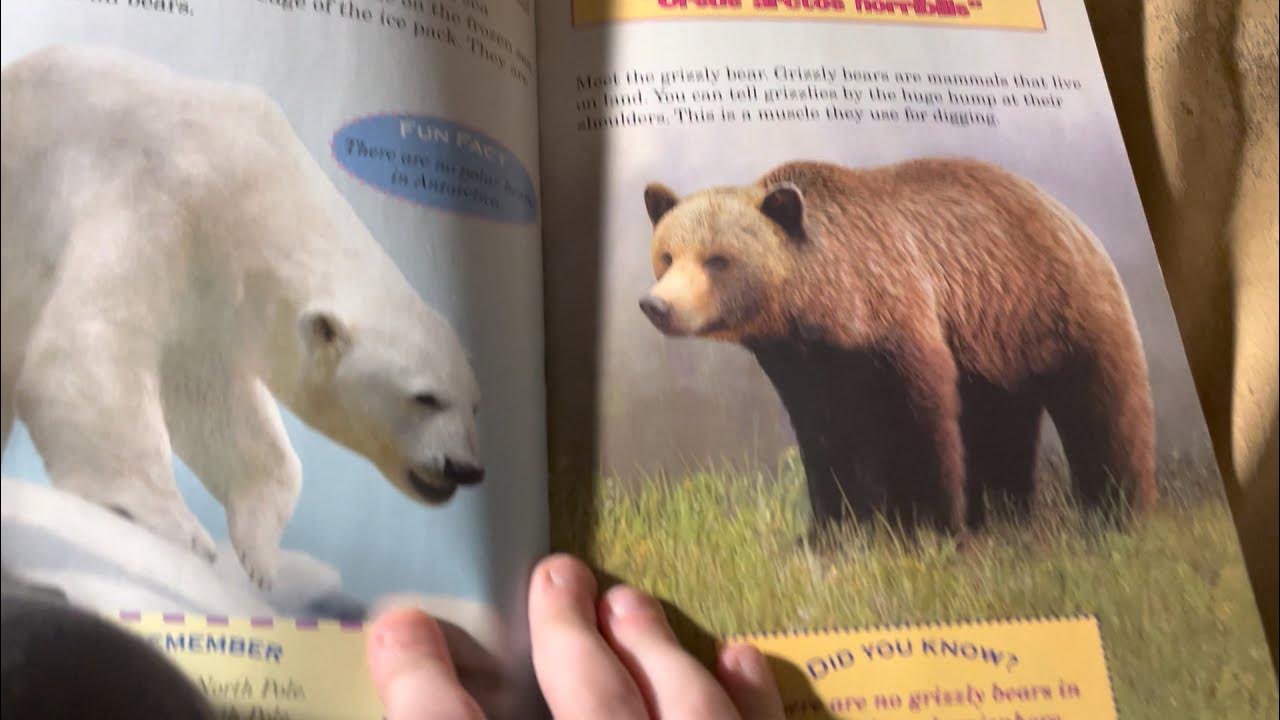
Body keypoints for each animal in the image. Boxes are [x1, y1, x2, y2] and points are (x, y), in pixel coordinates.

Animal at [1, 45, 484, 589]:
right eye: (425, 397)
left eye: (475, 404)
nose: (464, 468)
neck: (252, 189)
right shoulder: (159, 199)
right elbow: (87, 350)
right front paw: (178, 526)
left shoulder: (212, 300)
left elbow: (218, 410)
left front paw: (260, 558)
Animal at [639, 159, 1157, 535]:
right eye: (667, 255)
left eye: (717, 260)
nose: (657, 305)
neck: (824, 308)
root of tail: (1070, 216)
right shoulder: (804, 364)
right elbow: (826, 440)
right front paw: (833, 529)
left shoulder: (898, 324)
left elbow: (917, 425)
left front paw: (930, 525)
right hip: (997, 353)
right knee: (1002, 428)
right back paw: (1006, 517)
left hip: (1055, 310)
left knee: (1105, 411)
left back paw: (1117, 513)